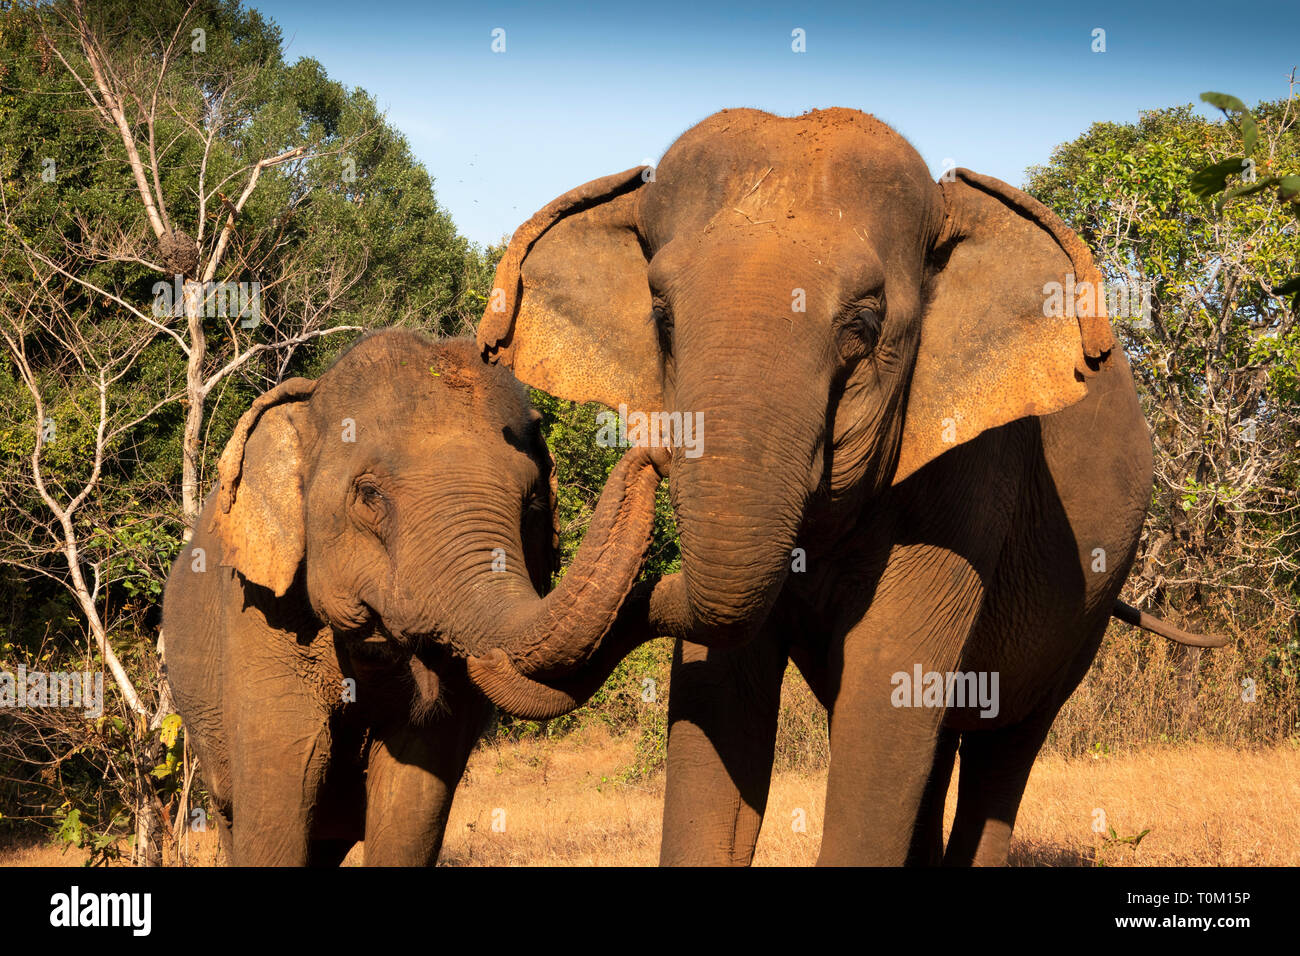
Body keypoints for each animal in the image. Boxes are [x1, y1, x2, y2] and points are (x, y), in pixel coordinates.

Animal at [161, 329, 666, 865]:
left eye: (531, 504)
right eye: (368, 495)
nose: (654, 452)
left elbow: (415, 792)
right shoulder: (259, 612)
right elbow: (284, 782)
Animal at [462, 107, 1225, 866]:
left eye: (862, 323)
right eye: (661, 315)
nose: (646, 459)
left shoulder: (973, 468)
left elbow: (886, 690)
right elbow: (722, 699)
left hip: (1088, 607)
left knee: (1005, 746)